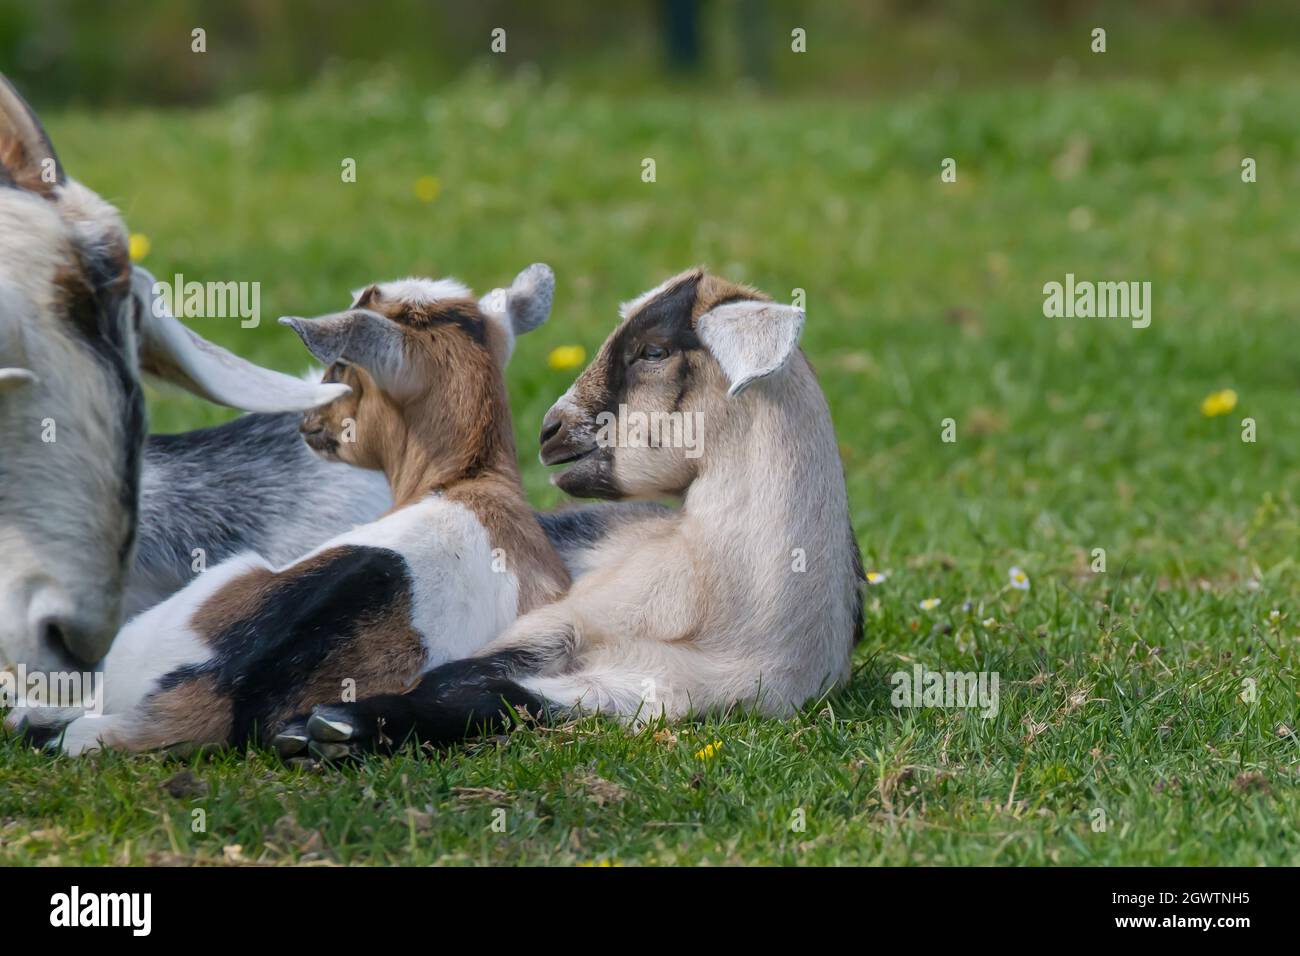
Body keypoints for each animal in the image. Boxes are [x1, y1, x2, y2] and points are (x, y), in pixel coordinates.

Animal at [277, 267, 865, 758]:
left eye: (653, 351)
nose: (550, 431)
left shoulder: (639, 694)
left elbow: (491, 698)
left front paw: (335, 729)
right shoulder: (558, 623)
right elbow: (459, 676)